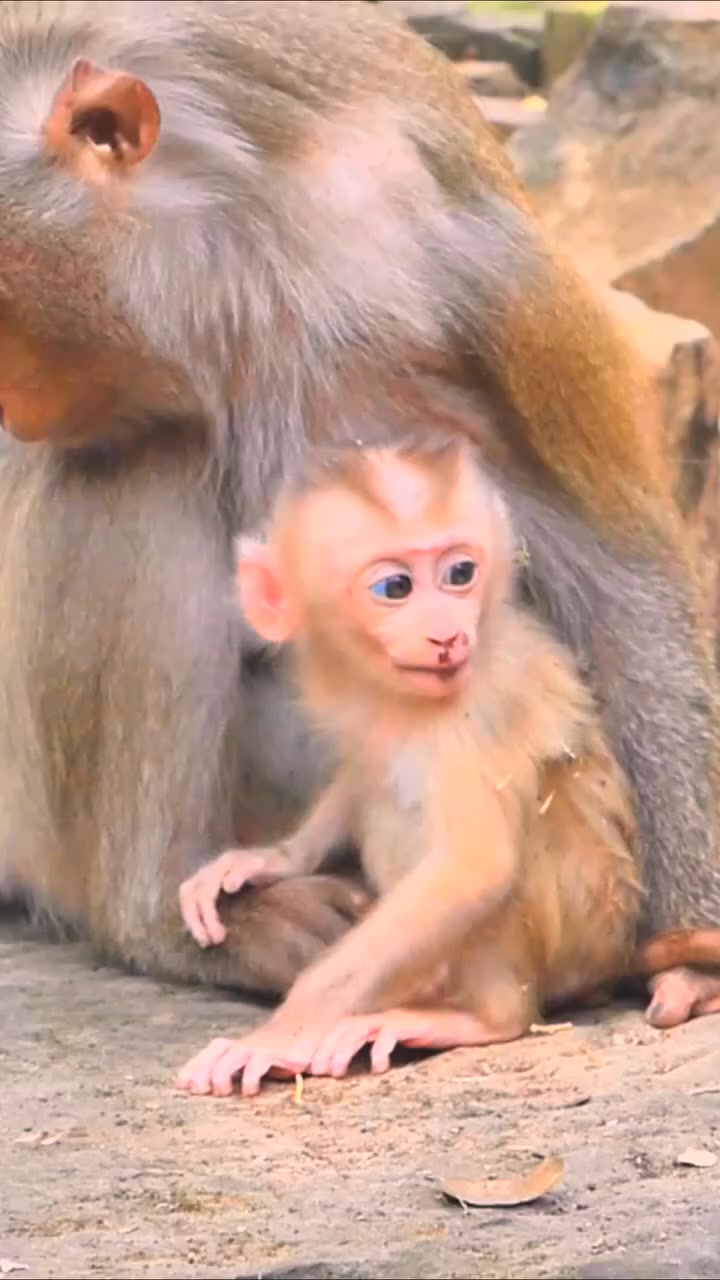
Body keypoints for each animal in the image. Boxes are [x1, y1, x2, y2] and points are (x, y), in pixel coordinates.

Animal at [0, 2, 717, 1018]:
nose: (9, 406)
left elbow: (610, 555)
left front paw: (690, 952)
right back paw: (165, 915)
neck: (219, 244)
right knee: (137, 463)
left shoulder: (465, 248)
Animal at [176, 437, 720, 1098]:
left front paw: (284, 1031)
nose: (447, 635)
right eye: (395, 587)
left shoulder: (475, 714)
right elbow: (361, 775)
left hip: (581, 931)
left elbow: (472, 868)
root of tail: (613, 958)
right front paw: (270, 858)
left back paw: (477, 1016)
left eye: (460, 574)